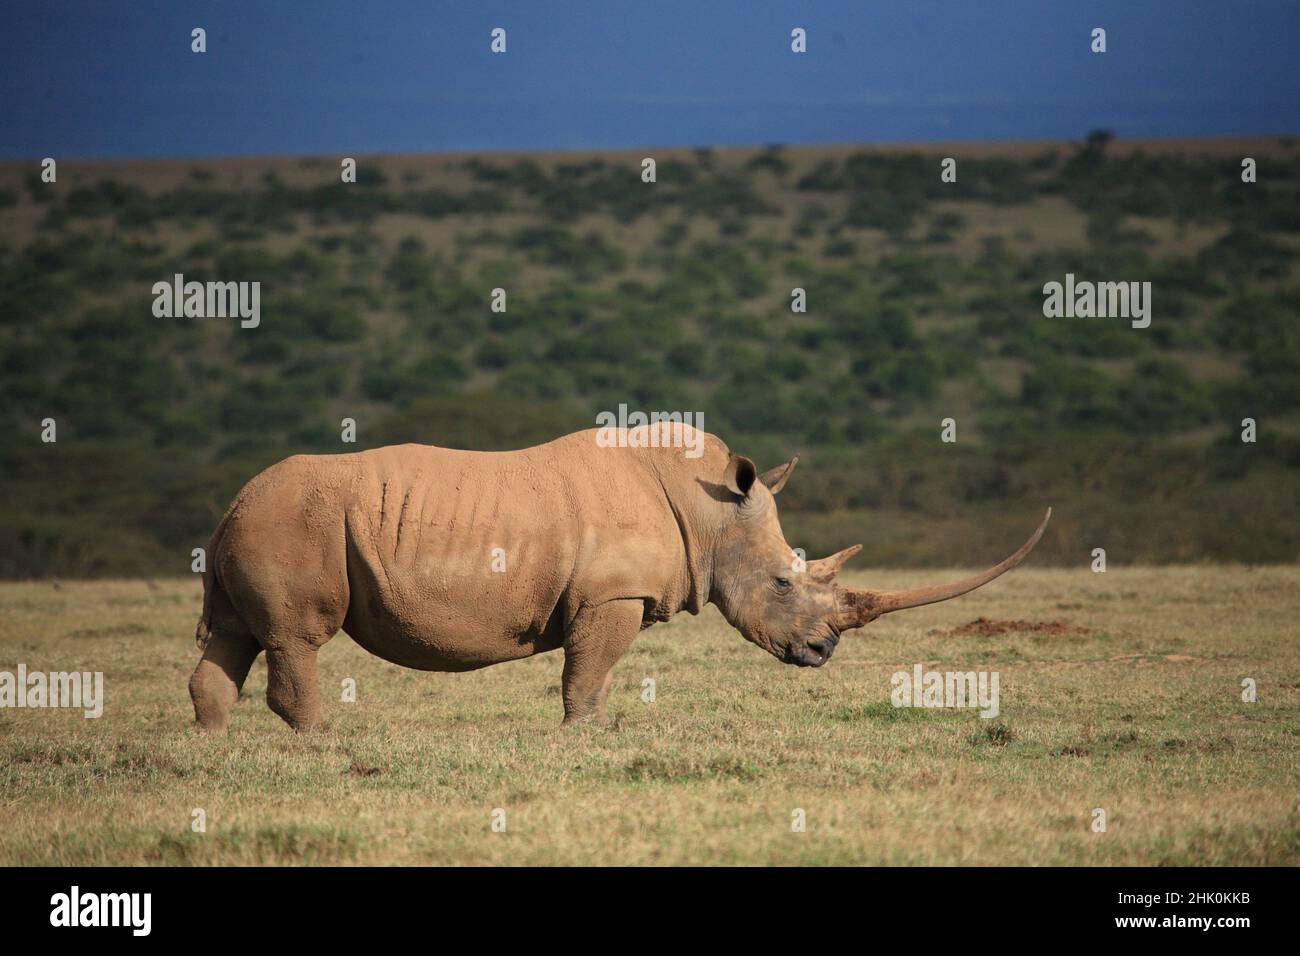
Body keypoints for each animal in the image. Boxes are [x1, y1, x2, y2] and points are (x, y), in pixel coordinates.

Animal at [189, 424, 1049, 731]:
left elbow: (589, 673)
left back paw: (216, 746)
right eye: (782, 584)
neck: (710, 511)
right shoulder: (611, 595)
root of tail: (230, 505)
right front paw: (584, 738)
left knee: (231, 636)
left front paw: (591, 736)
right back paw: (320, 745)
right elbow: (589, 672)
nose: (823, 654)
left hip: (257, 526)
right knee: (296, 637)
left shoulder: (607, 595)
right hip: (290, 524)